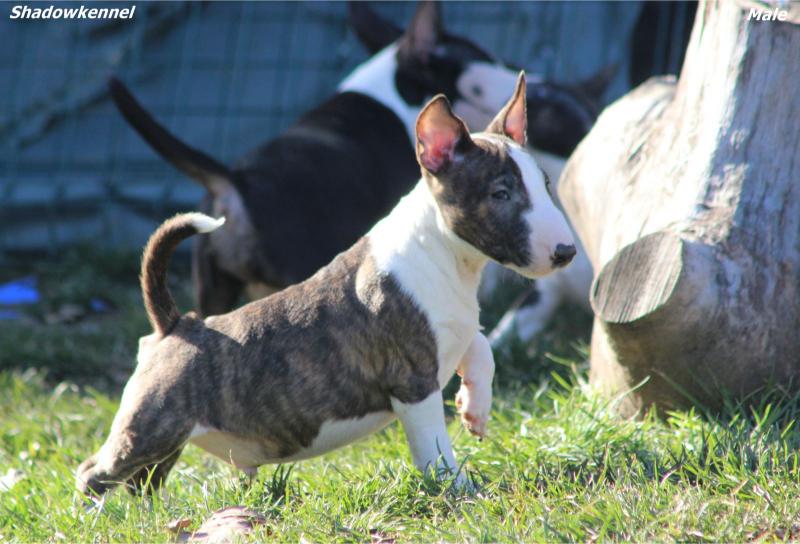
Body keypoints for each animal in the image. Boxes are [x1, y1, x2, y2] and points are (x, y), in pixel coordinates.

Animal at [75, 72, 576, 498]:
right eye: (500, 193)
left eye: (545, 183)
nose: (567, 253)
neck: (445, 255)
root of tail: (176, 326)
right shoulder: (412, 378)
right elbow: (433, 445)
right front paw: (458, 490)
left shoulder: (454, 328)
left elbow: (482, 346)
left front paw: (476, 410)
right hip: (152, 424)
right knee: (95, 473)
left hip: (167, 440)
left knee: (143, 482)